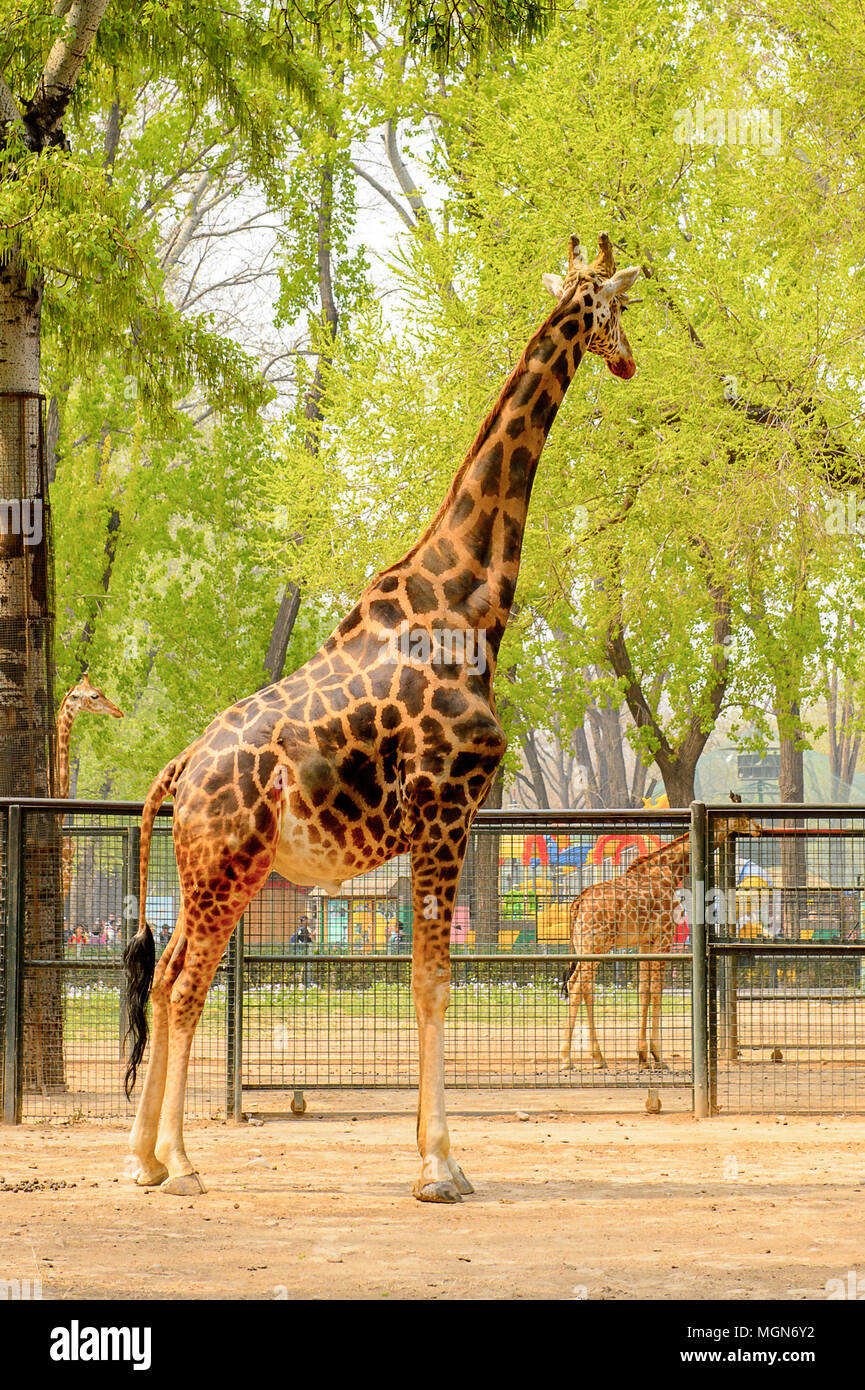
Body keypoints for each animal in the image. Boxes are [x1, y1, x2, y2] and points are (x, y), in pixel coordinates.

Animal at [123, 231, 643, 1202]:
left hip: (217, 869)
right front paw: (440, 1166)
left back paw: (147, 1158)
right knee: (182, 984)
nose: (628, 362)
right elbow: (433, 982)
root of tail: (181, 765)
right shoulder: (447, 812)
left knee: (173, 973)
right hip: (225, 866)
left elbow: (426, 979)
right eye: (614, 305)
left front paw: (431, 1154)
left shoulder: (444, 824)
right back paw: (176, 1162)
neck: (470, 603)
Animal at [560, 814, 762, 1072]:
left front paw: (642, 1055)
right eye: (743, 816)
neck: (672, 871)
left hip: (587, 948)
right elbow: (657, 990)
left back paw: (596, 1057)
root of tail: (577, 904)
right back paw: (568, 1059)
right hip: (595, 946)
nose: (758, 828)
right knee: (577, 987)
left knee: (584, 987)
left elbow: (644, 990)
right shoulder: (664, 937)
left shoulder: (645, 942)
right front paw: (658, 1056)